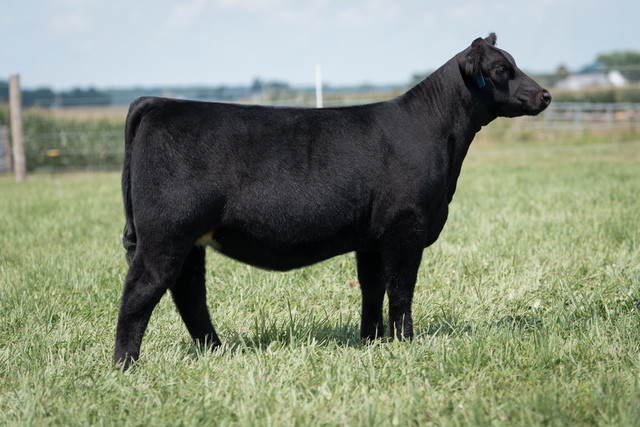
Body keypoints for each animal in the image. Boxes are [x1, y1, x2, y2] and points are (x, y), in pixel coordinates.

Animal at [114, 33, 551, 368]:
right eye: (501, 70)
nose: (545, 95)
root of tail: (157, 102)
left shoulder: (371, 237)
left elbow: (373, 289)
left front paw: (372, 341)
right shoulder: (406, 225)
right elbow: (401, 288)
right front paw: (404, 342)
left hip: (189, 240)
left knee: (189, 293)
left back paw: (216, 351)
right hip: (166, 234)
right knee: (139, 292)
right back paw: (125, 365)